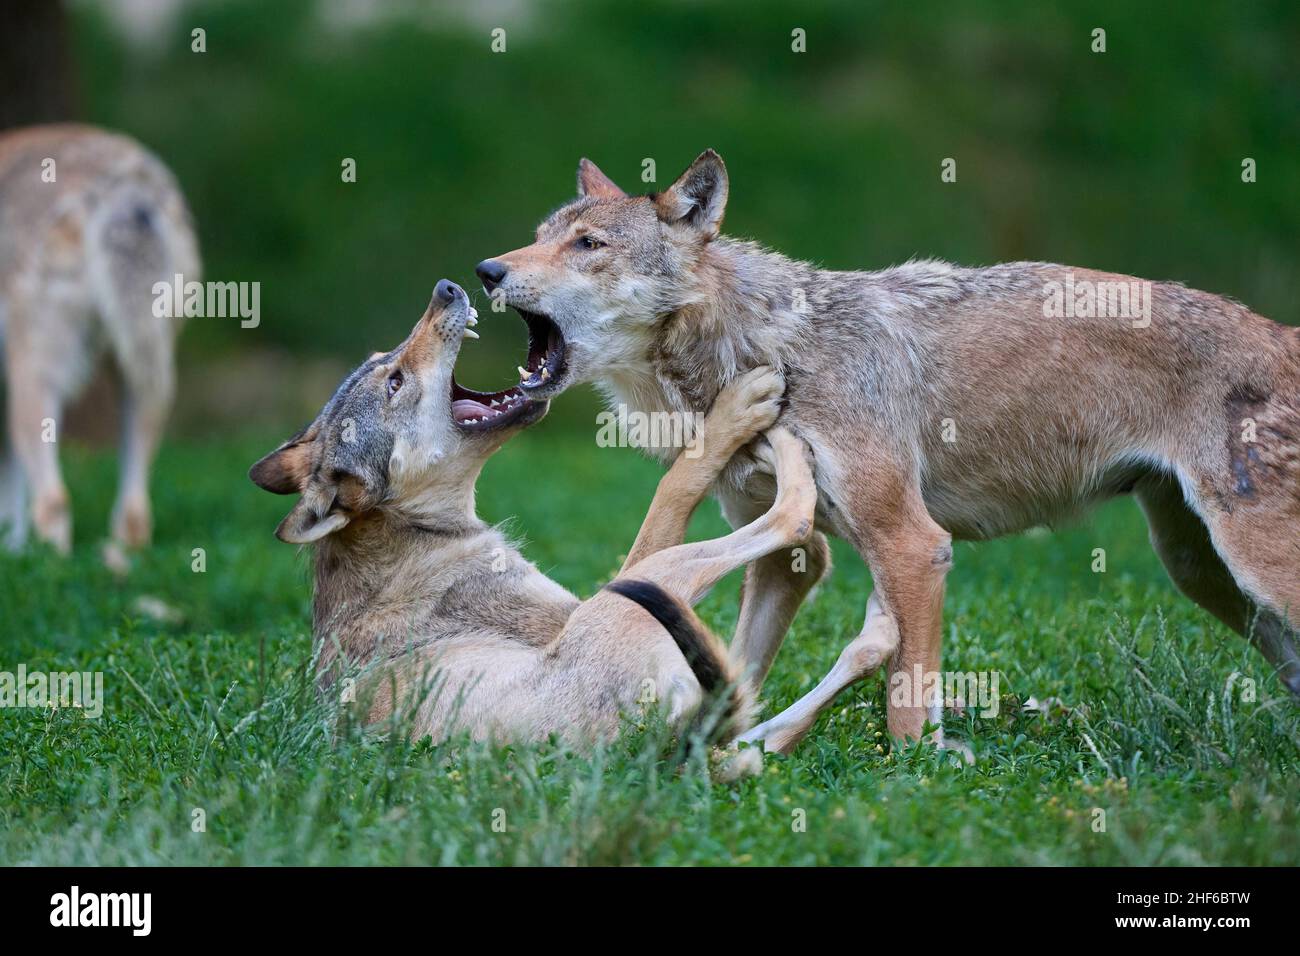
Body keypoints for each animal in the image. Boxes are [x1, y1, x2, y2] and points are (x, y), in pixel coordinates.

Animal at [249, 279, 816, 748]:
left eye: (384, 360)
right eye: (396, 382)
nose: (446, 287)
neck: (416, 530)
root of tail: (664, 747)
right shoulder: (584, 601)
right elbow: (676, 482)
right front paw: (737, 409)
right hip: (635, 590)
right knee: (791, 519)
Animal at [474, 149, 1300, 753]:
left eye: (588, 245)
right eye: (542, 235)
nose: (485, 271)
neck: (765, 346)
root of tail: (1282, 332)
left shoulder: (913, 544)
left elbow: (906, 711)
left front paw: (917, 780)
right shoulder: (792, 554)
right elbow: (737, 662)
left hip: (1248, 569)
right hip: (1202, 572)